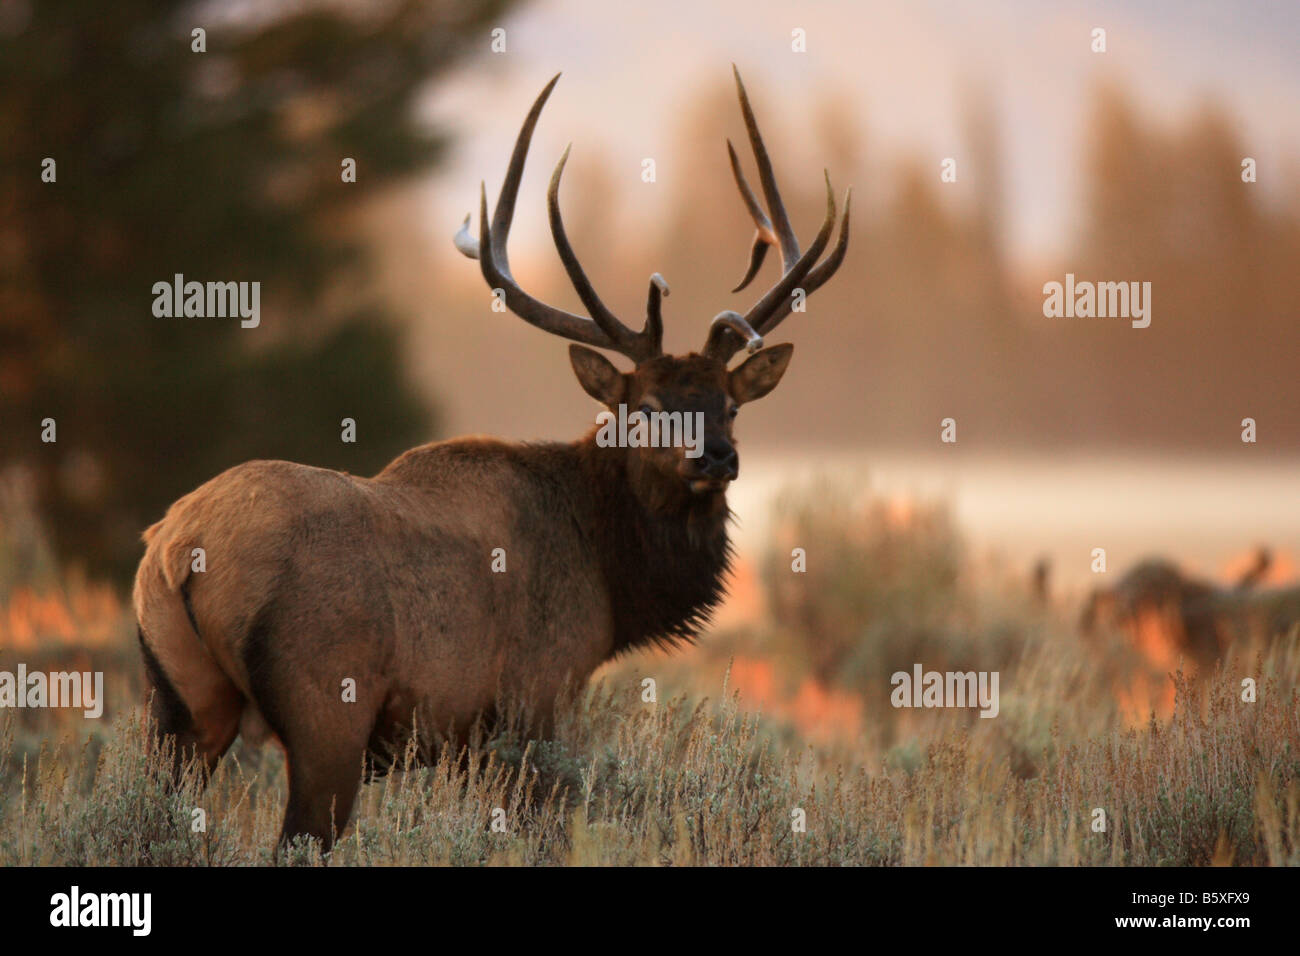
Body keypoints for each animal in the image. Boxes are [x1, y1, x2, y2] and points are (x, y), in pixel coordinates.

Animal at [132, 67, 850, 852]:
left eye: (730, 405)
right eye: (648, 405)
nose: (715, 457)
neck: (610, 579)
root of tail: (177, 551)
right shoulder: (534, 700)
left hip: (180, 705)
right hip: (326, 712)